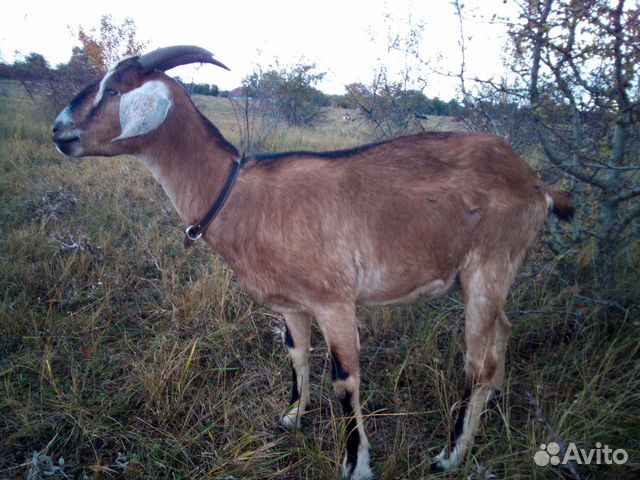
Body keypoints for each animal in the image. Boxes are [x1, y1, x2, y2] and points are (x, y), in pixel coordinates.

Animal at [52, 46, 574, 479]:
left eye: (113, 90)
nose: (59, 130)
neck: (240, 194)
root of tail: (536, 184)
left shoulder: (334, 302)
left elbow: (344, 380)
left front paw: (355, 464)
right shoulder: (293, 305)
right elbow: (296, 354)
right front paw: (291, 417)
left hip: (488, 268)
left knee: (476, 365)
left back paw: (450, 456)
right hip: (488, 277)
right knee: (502, 332)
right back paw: (496, 399)